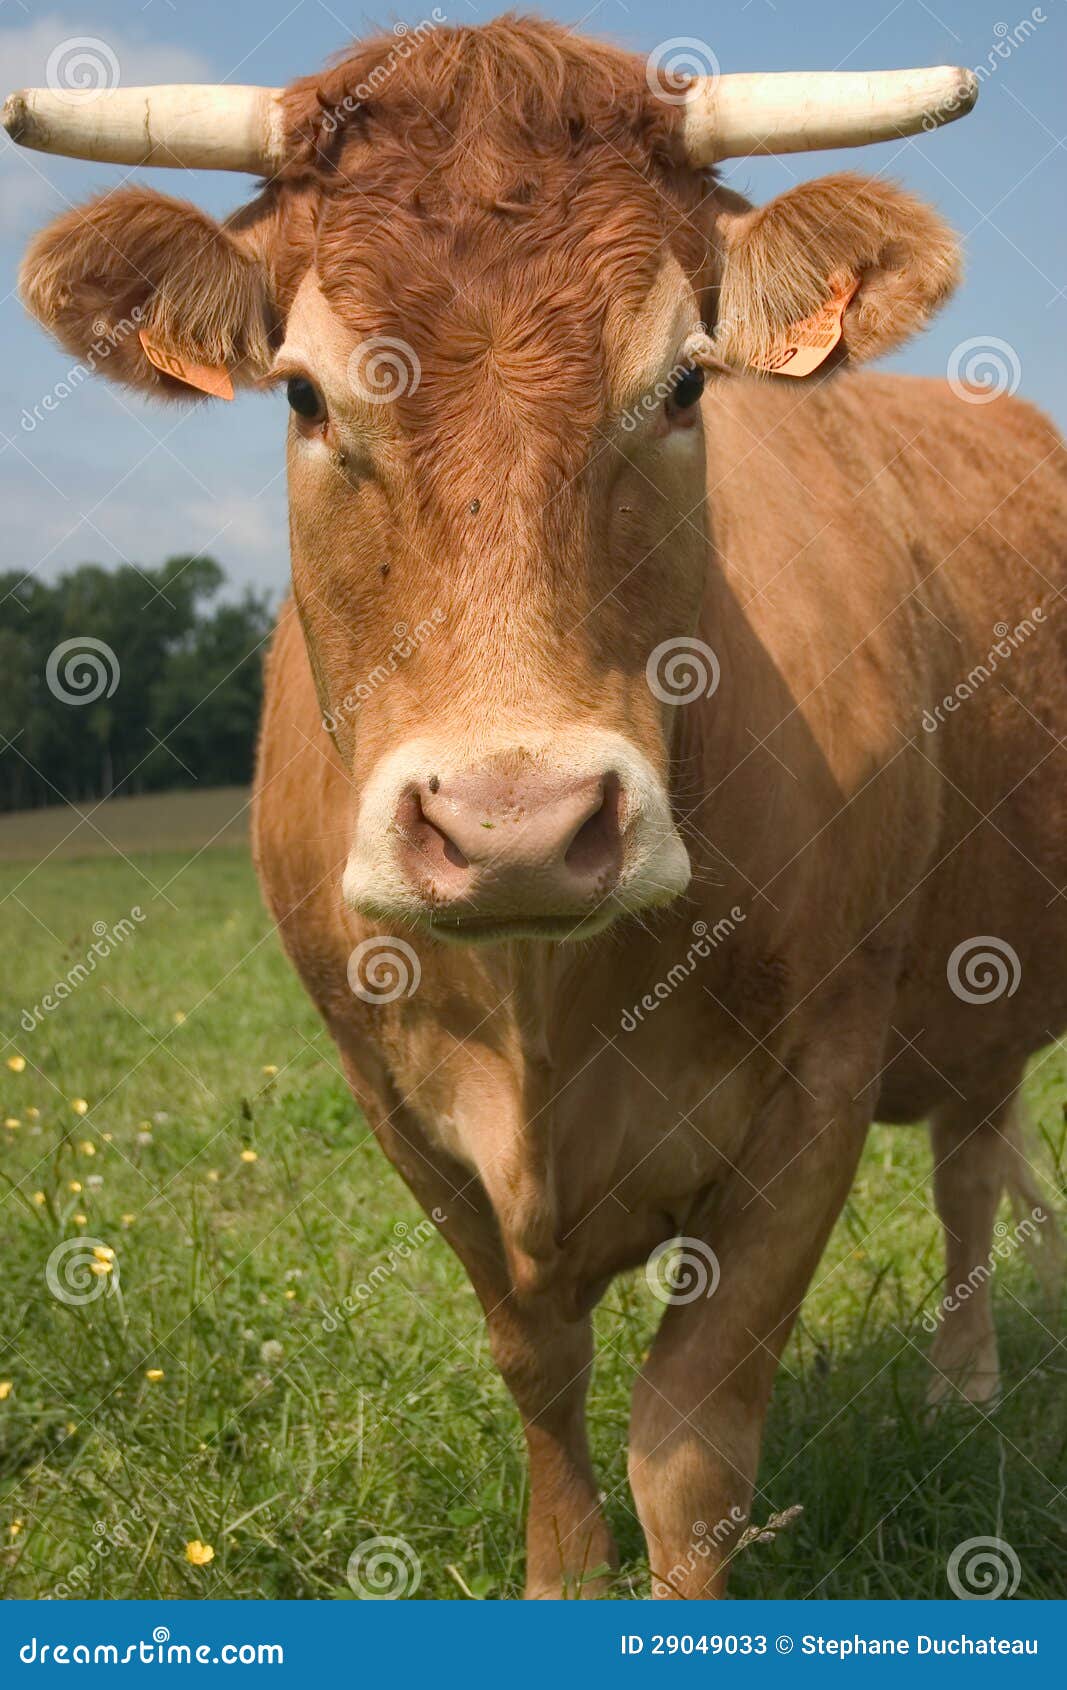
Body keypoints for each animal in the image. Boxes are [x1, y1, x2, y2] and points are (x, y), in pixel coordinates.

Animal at [8, 15, 1065, 1599]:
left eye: (685, 385)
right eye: (306, 394)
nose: (515, 827)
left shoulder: (820, 1071)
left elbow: (687, 1445)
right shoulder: (392, 1095)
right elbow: (538, 1370)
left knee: (961, 1178)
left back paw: (962, 1388)